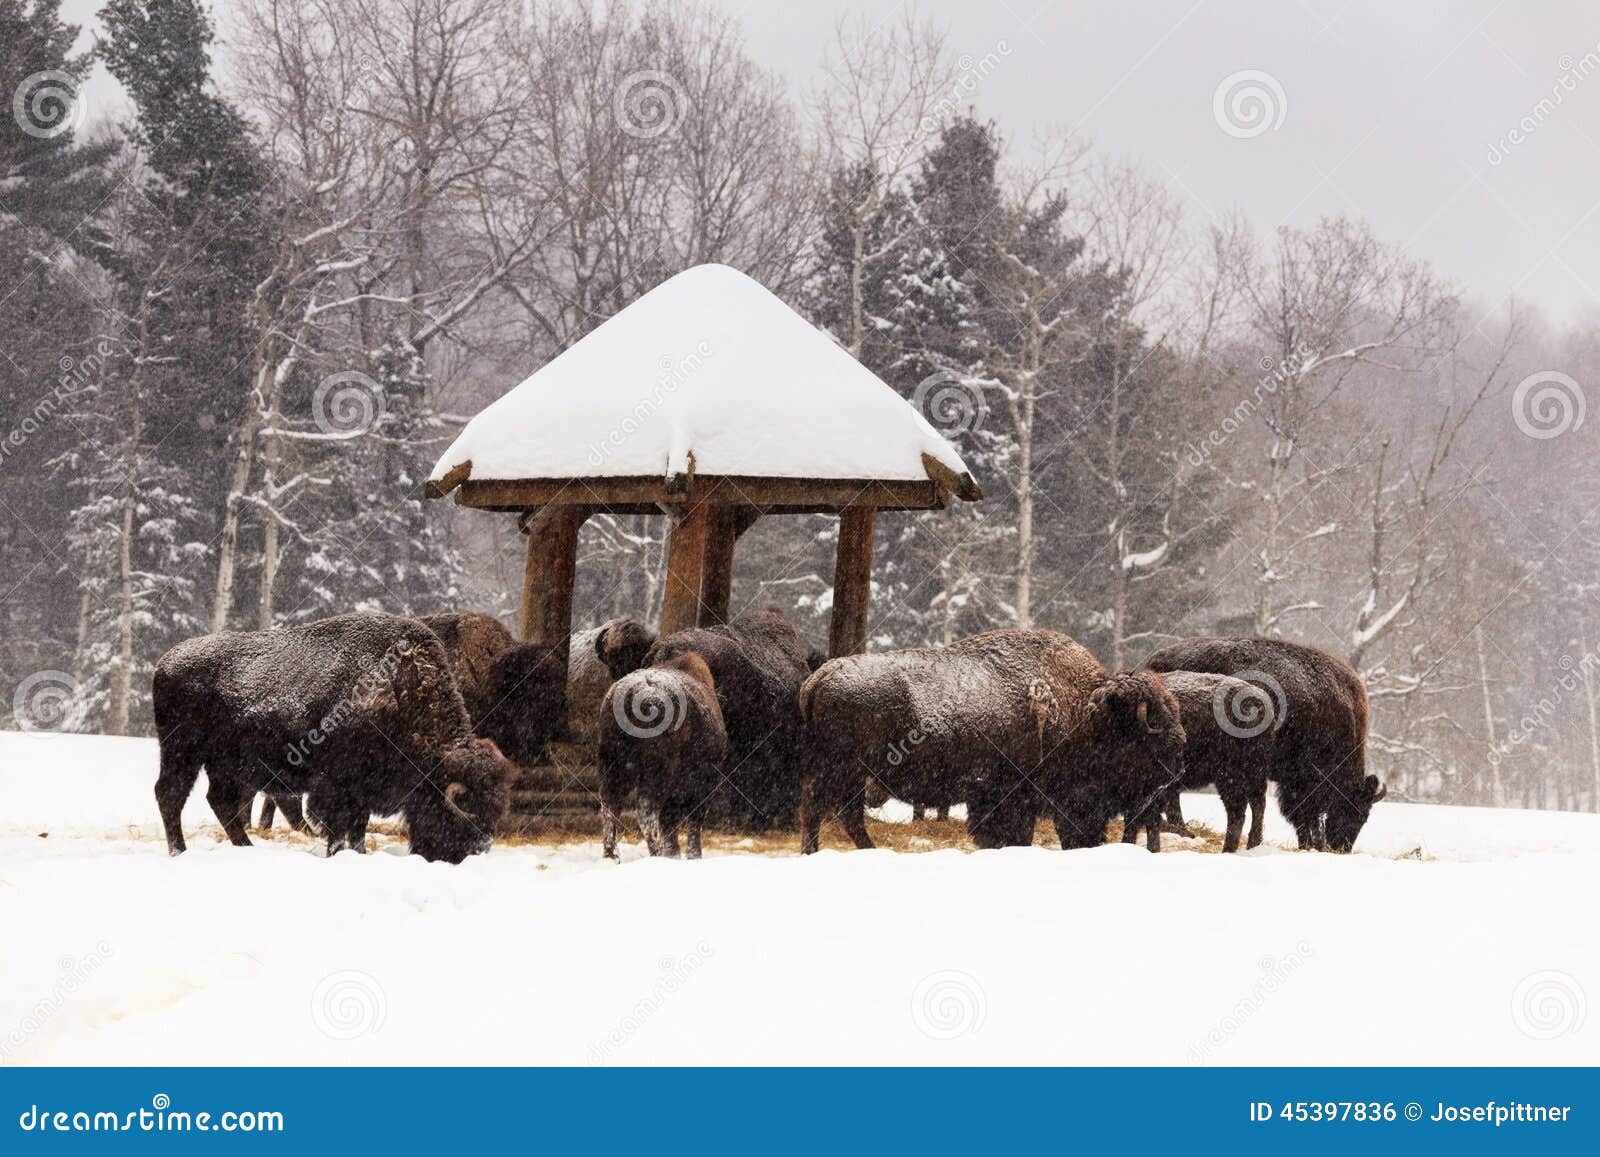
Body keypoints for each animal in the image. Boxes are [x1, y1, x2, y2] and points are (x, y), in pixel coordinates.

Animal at [152, 613, 517, 863]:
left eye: (495, 811)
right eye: (464, 811)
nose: (472, 852)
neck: (400, 688)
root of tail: (165, 662)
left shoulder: (364, 790)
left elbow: (358, 828)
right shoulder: (336, 787)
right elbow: (338, 826)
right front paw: (337, 853)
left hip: (223, 764)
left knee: (220, 801)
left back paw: (246, 847)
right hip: (181, 752)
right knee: (170, 794)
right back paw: (179, 852)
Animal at [1144, 637, 1379, 852]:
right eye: (1356, 811)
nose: (1342, 848)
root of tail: (1153, 661)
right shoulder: (1300, 781)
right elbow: (1302, 813)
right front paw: (1308, 845)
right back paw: (1183, 830)